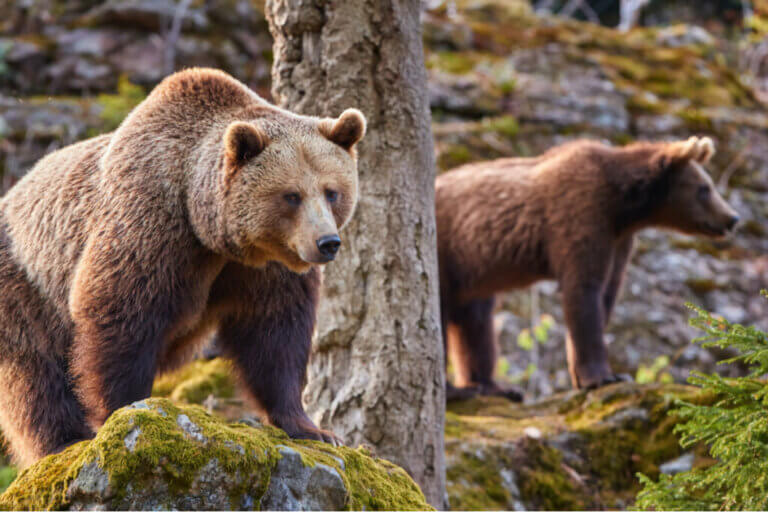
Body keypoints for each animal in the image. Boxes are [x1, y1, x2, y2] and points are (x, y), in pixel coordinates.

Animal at [0, 68, 366, 467]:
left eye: (332, 191)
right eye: (291, 195)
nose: (327, 242)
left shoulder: (264, 268)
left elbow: (276, 334)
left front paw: (314, 429)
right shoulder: (153, 230)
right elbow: (121, 317)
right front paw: (123, 413)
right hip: (25, 293)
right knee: (36, 379)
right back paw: (62, 442)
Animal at [435, 136, 739, 399]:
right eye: (704, 188)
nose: (732, 217)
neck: (624, 207)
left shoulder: (618, 240)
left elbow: (606, 295)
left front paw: (596, 376)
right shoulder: (579, 216)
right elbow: (584, 291)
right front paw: (601, 376)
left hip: (473, 274)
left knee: (475, 322)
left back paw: (494, 387)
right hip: (447, 254)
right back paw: (455, 391)